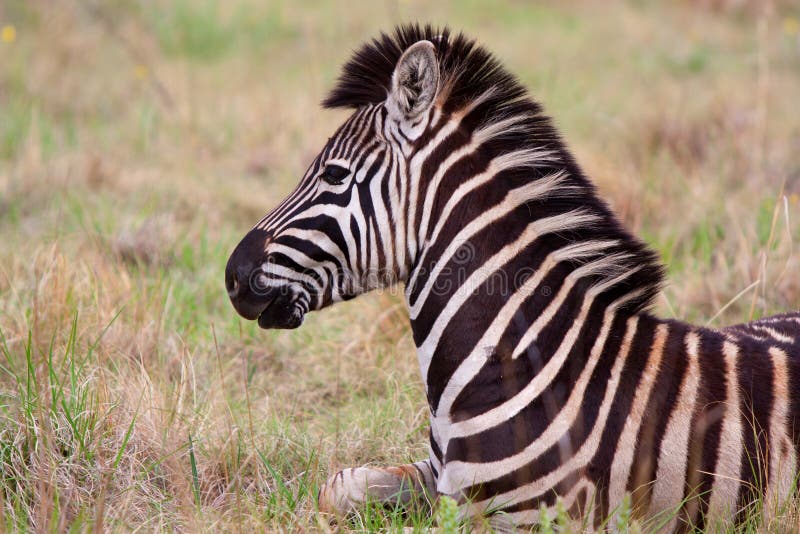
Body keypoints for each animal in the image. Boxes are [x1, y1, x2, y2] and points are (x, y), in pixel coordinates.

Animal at [225, 25, 800, 530]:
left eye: (334, 175)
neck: (526, 361)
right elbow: (338, 486)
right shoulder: (439, 477)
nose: (233, 276)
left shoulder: (538, 519)